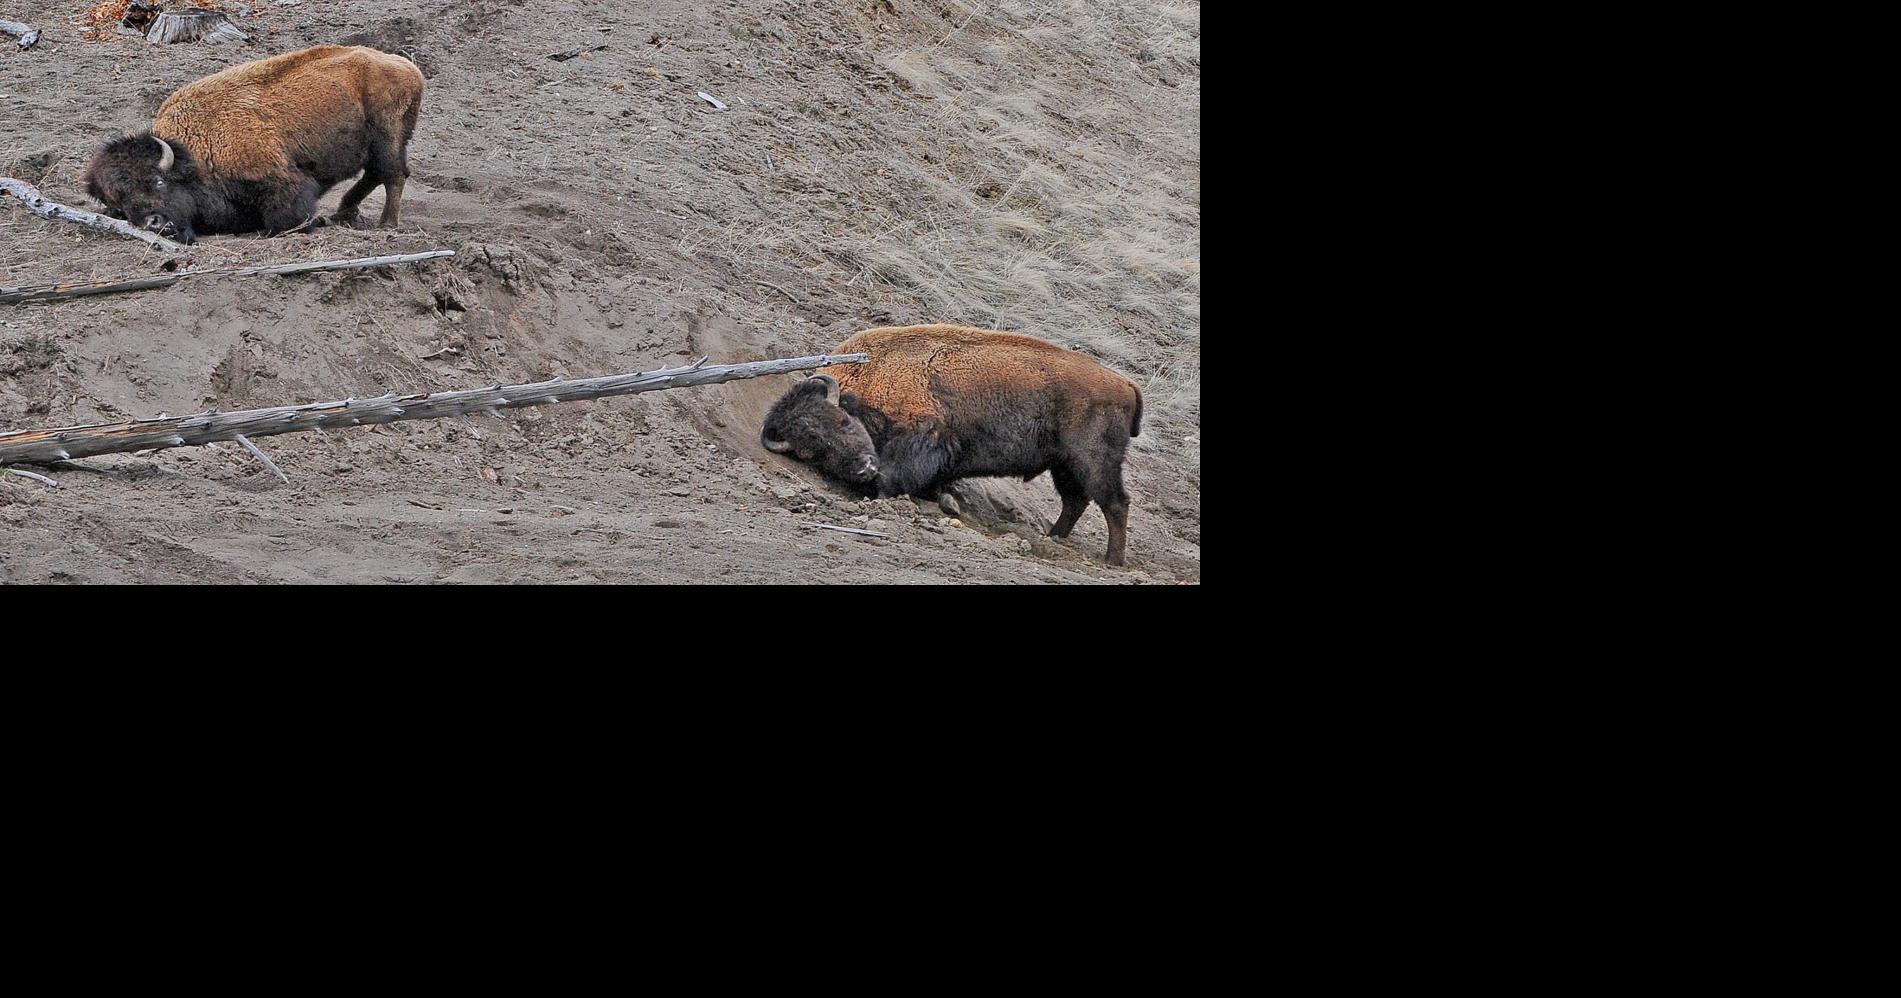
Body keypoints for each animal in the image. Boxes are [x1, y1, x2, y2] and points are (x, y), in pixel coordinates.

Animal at [83, 44, 424, 244]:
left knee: (392, 174)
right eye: (120, 204)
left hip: (387, 135)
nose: (154, 223)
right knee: (376, 174)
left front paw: (311, 222)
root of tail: (406, 66)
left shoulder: (281, 180)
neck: (195, 149)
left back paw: (386, 224)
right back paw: (344, 212)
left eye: (158, 181)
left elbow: (284, 217)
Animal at [763, 324, 1144, 566]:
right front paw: (945, 500)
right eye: (814, 451)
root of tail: (1124, 383)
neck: (871, 377)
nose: (863, 467)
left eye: (843, 420)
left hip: (1092, 460)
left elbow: (895, 479)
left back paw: (1112, 561)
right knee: (1076, 501)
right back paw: (1053, 538)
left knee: (1114, 502)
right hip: (1063, 465)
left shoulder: (922, 439)